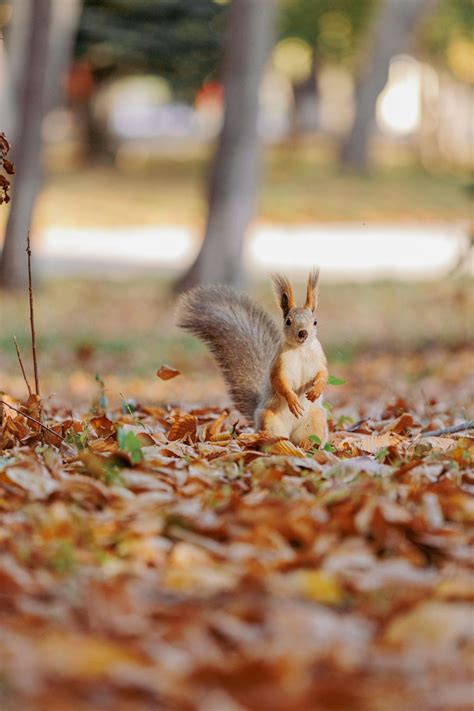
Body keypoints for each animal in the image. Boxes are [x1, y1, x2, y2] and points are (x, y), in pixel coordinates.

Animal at [177, 270, 328, 448]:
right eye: (288, 321)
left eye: (315, 322)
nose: (303, 333)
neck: (301, 350)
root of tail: (291, 435)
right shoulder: (279, 363)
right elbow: (279, 380)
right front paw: (292, 399)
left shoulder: (320, 358)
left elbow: (324, 373)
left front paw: (317, 389)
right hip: (269, 420)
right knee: (273, 439)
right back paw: (280, 446)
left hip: (316, 420)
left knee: (308, 440)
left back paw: (306, 448)